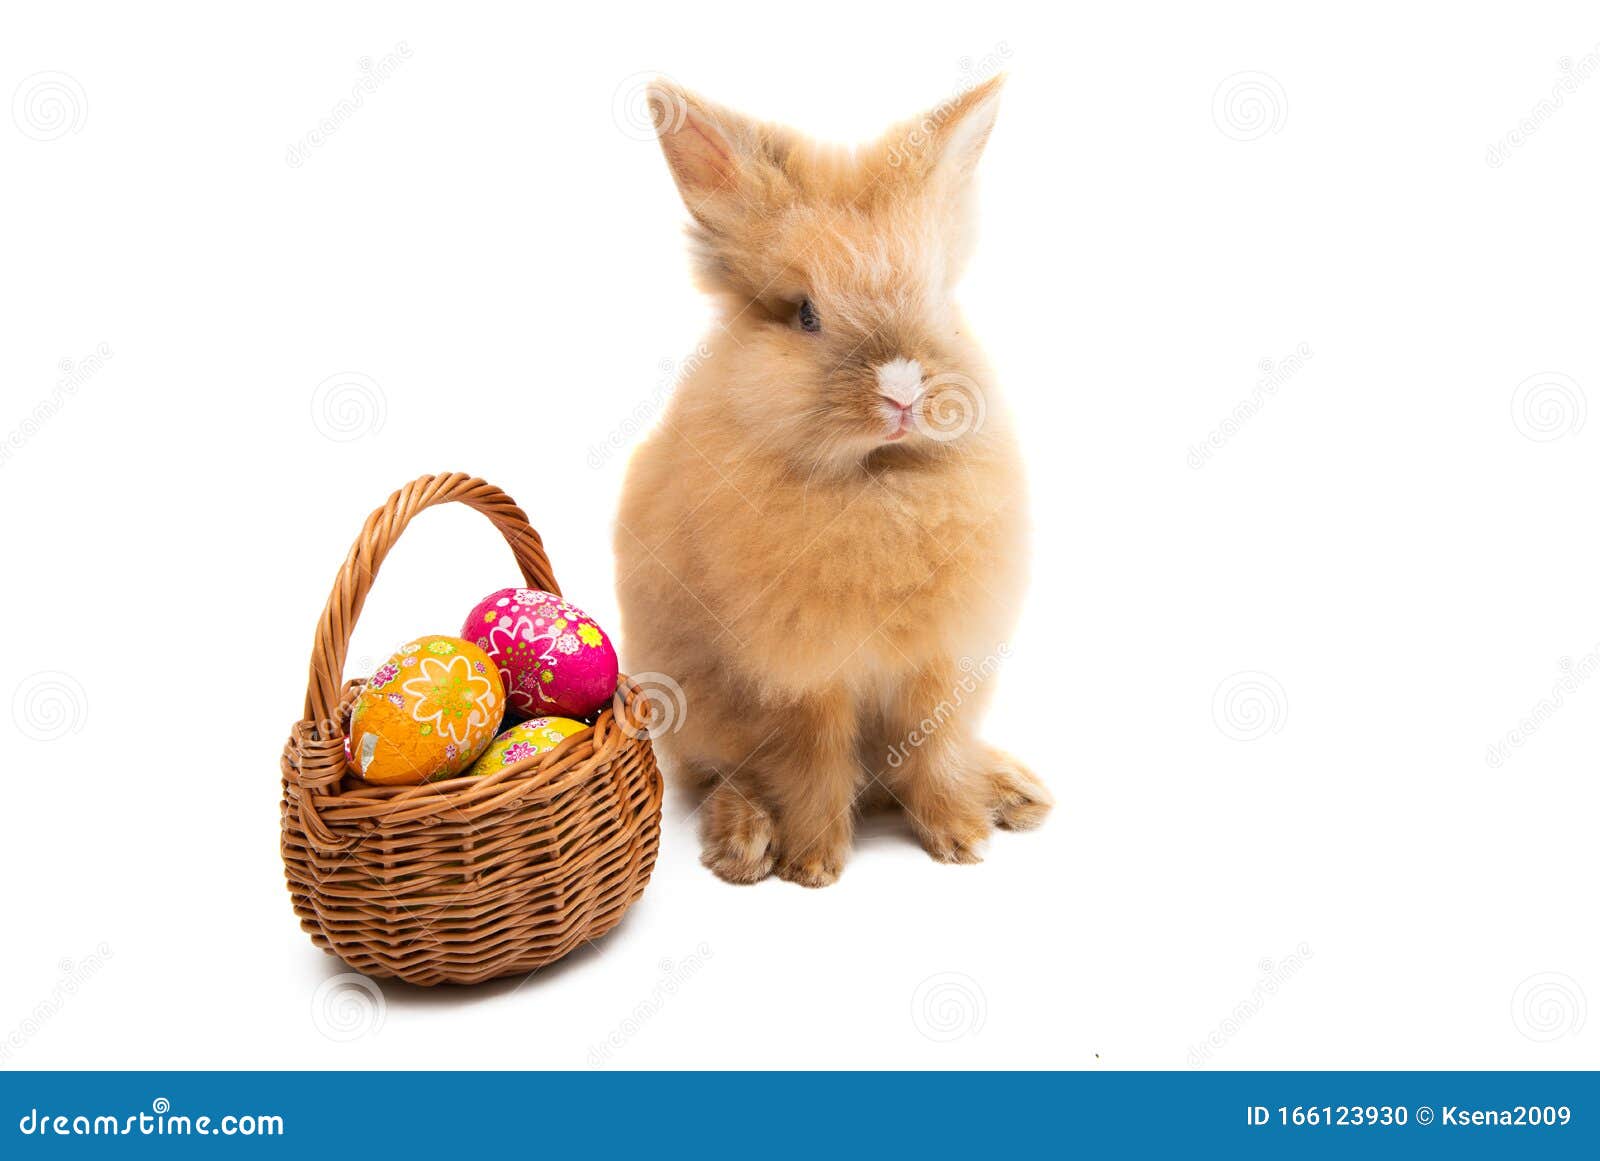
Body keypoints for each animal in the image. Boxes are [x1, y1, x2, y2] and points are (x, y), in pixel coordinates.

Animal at [615, 75, 1050, 887]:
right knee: (722, 774)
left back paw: (1017, 792)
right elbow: (811, 761)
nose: (903, 392)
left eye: (936, 297)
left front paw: (961, 839)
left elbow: (933, 754)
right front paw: (813, 864)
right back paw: (742, 843)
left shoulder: (937, 666)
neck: (879, 478)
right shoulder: (801, 679)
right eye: (806, 314)